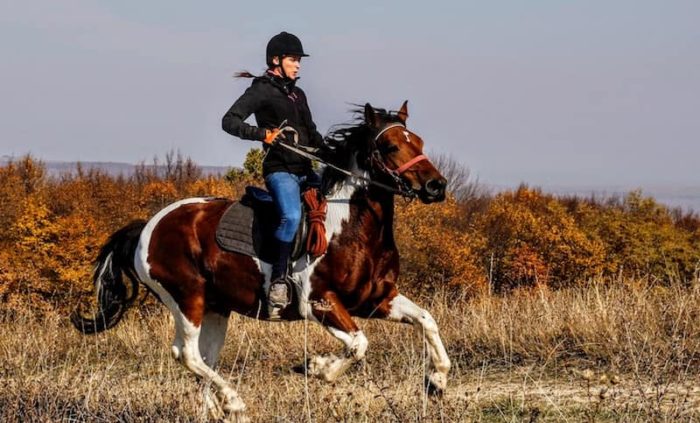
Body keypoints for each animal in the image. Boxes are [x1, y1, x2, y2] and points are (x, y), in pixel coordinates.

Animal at [72, 101, 451, 420]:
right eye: (391, 146)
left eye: (418, 141)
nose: (436, 186)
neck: (351, 225)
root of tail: (148, 226)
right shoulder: (320, 302)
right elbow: (359, 344)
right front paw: (315, 367)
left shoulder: (376, 299)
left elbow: (427, 320)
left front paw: (437, 381)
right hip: (186, 298)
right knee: (187, 354)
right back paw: (234, 403)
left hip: (216, 307)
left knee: (203, 358)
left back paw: (216, 409)